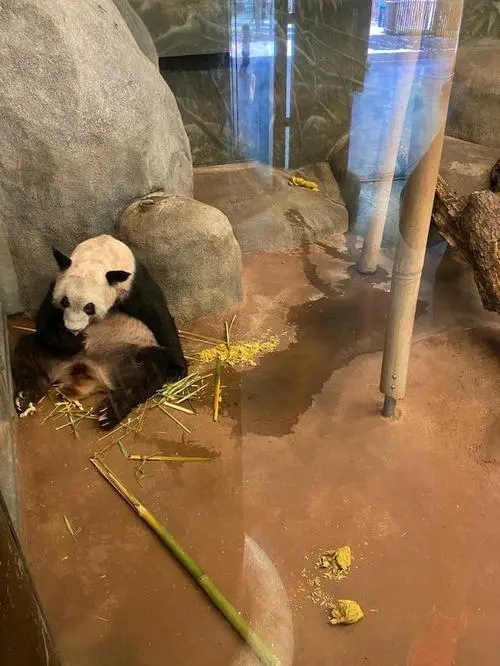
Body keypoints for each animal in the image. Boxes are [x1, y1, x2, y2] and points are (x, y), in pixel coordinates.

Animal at [12, 234, 188, 429]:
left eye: (89, 307)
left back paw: (110, 412)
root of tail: (90, 373)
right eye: (65, 301)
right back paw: (26, 396)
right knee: (29, 350)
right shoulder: (57, 283)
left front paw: (178, 369)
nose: (74, 329)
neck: (98, 254)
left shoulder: (134, 284)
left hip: (128, 352)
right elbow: (45, 319)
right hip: (53, 356)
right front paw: (73, 342)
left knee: (148, 373)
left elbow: (158, 316)